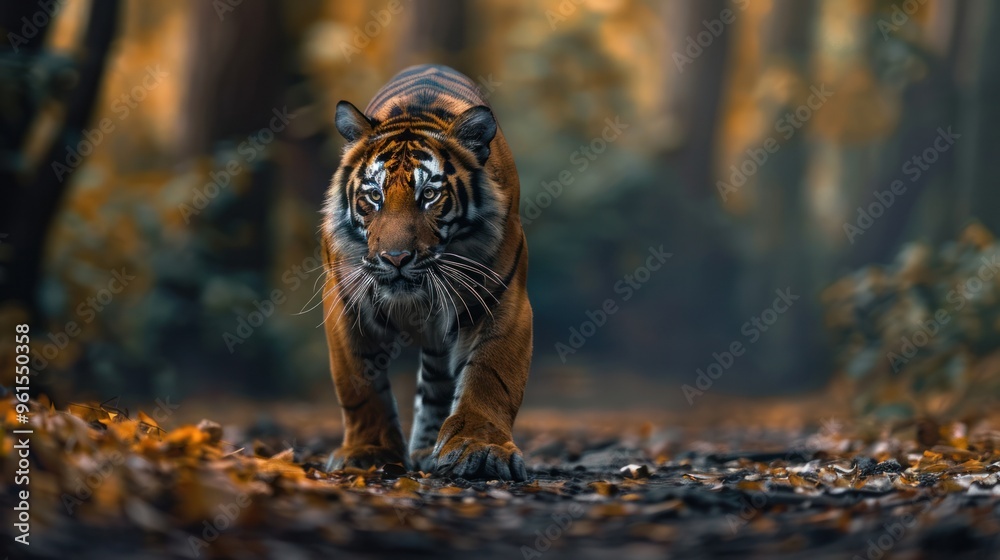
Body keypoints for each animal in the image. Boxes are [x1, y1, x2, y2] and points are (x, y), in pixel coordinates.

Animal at [320, 64, 532, 481]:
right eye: (374, 196)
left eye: (429, 196)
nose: (396, 257)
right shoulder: (343, 301)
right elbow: (358, 384)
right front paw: (367, 451)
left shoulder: (505, 299)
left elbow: (491, 375)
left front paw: (481, 448)